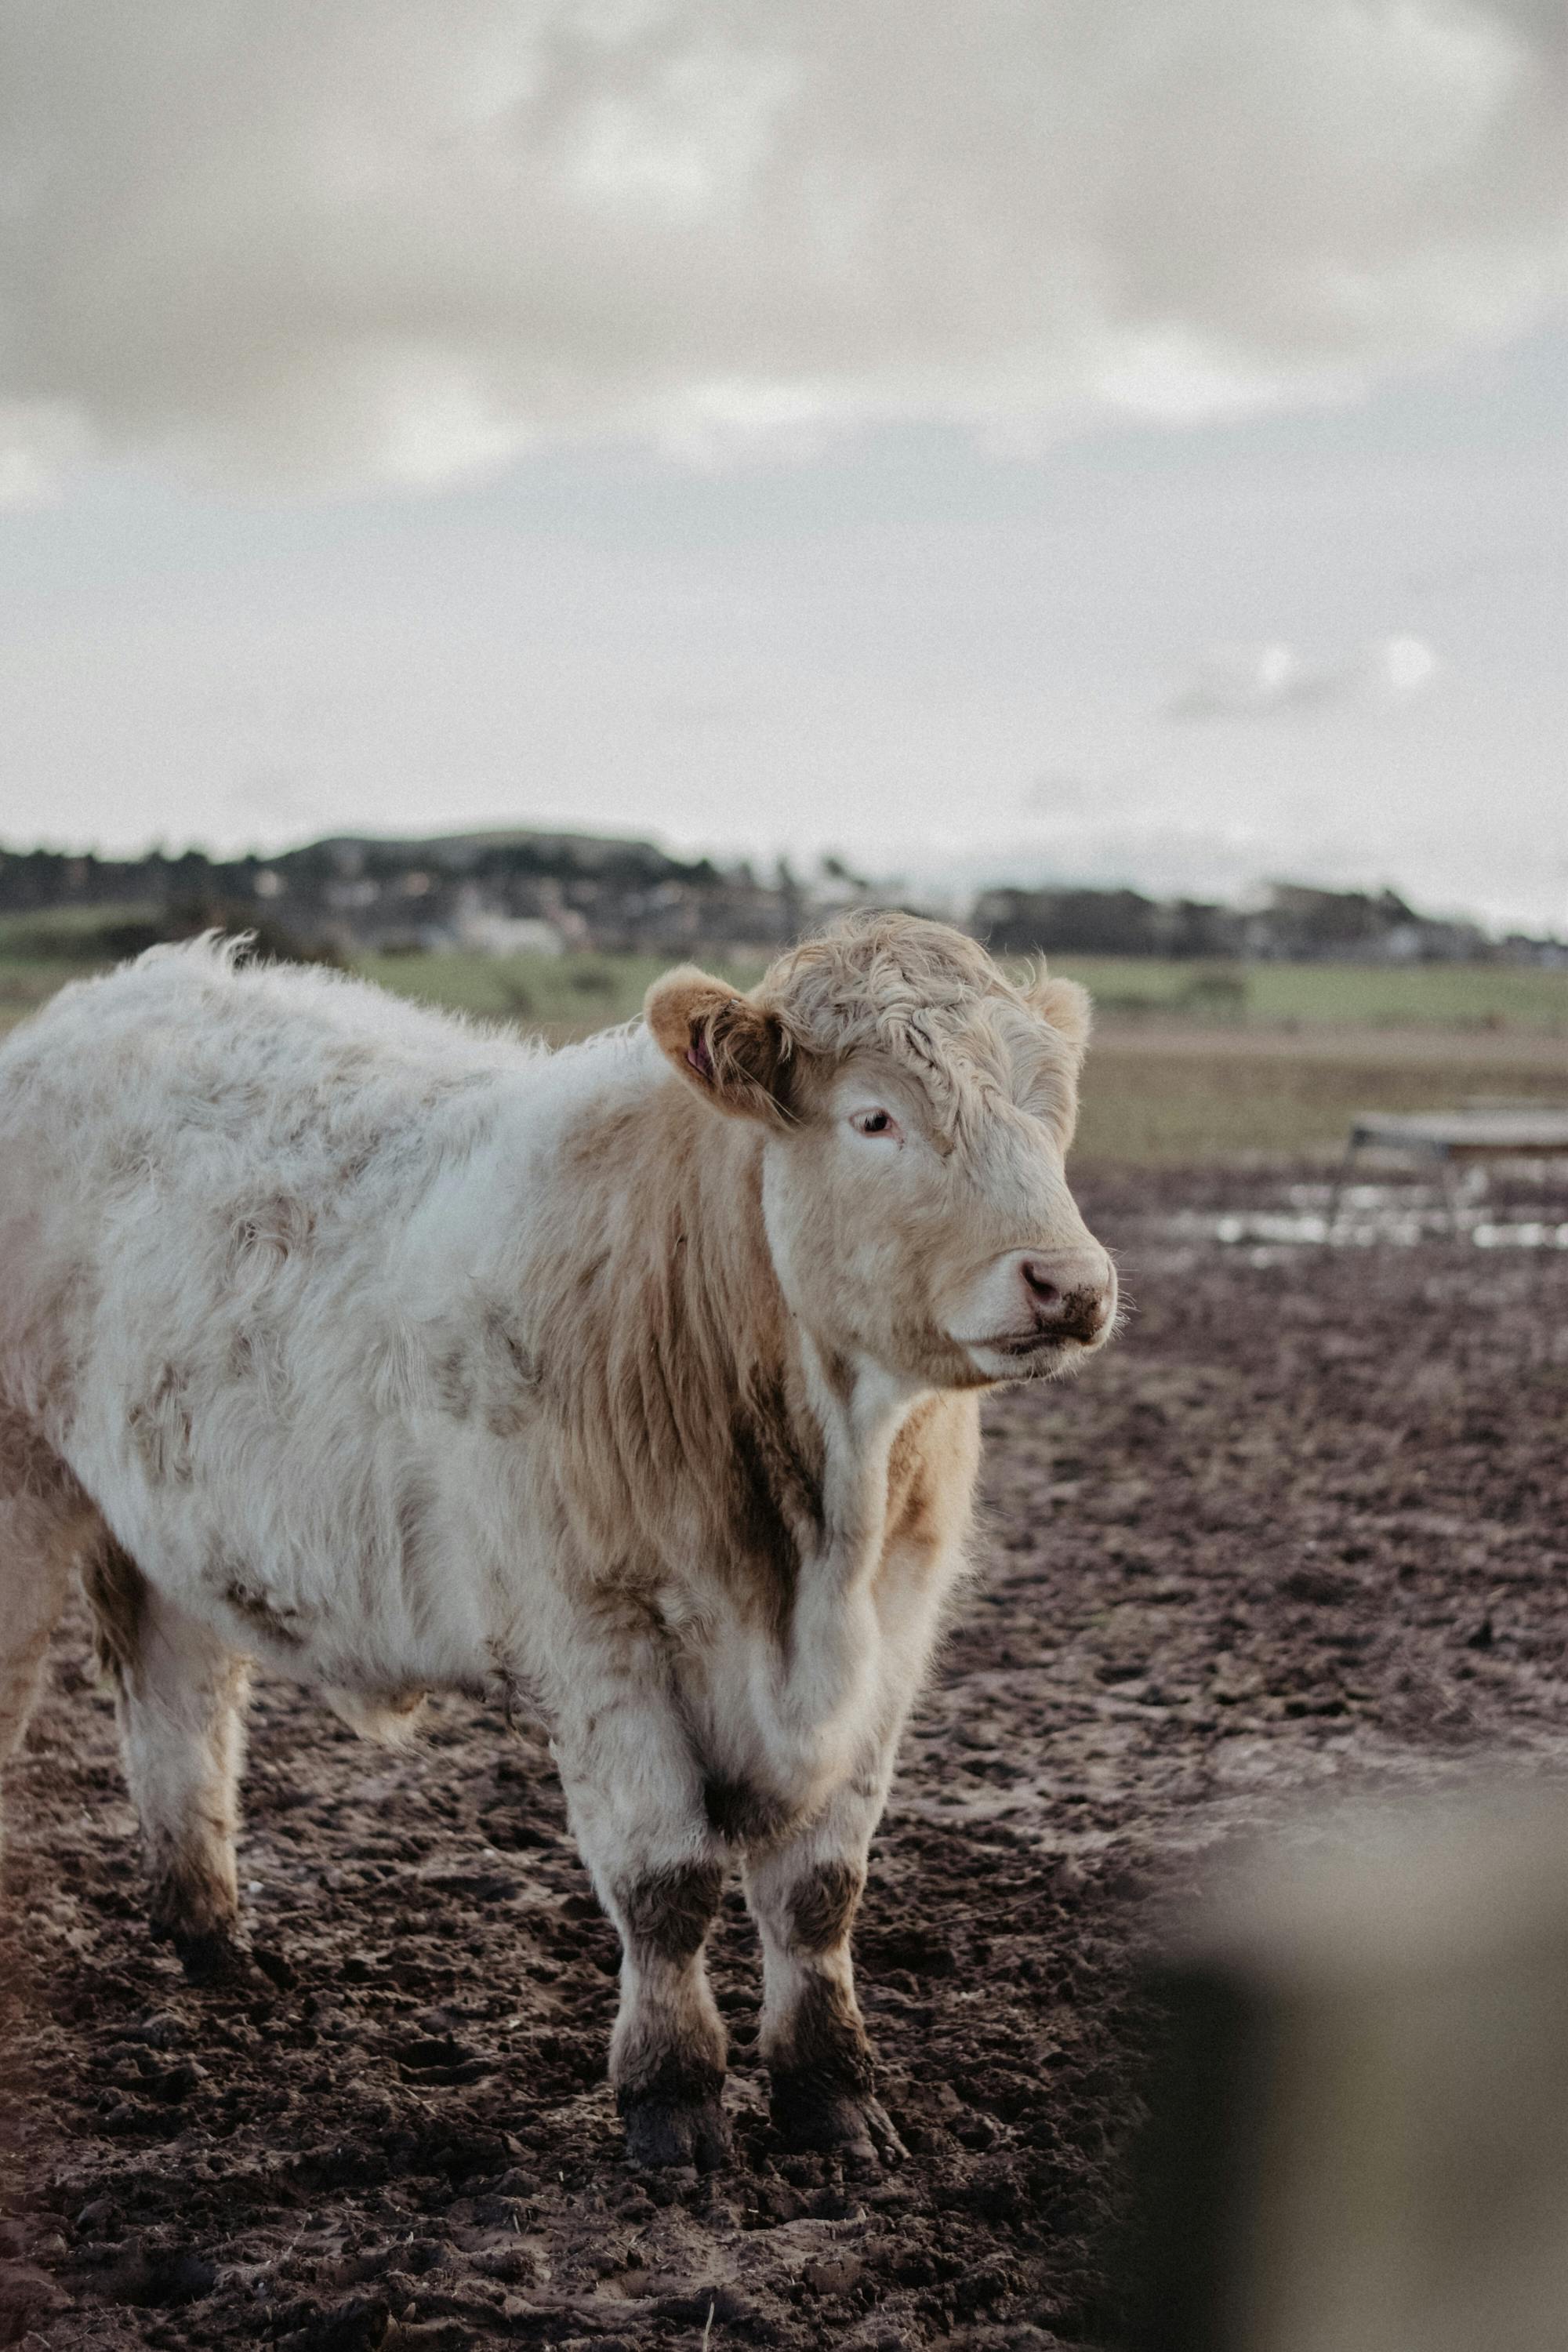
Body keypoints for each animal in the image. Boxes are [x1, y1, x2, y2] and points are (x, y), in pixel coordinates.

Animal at [0, 913, 1115, 2168]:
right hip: (21, 1490)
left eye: (1049, 1107)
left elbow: (820, 1890)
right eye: (874, 1118)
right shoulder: (595, 1634)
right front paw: (674, 2100)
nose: (1069, 1284)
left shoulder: (894, 1636)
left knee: (179, 1707)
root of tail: (118, 993)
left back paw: (217, 1948)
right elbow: (665, 1884)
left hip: (173, 1532)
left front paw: (831, 2094)